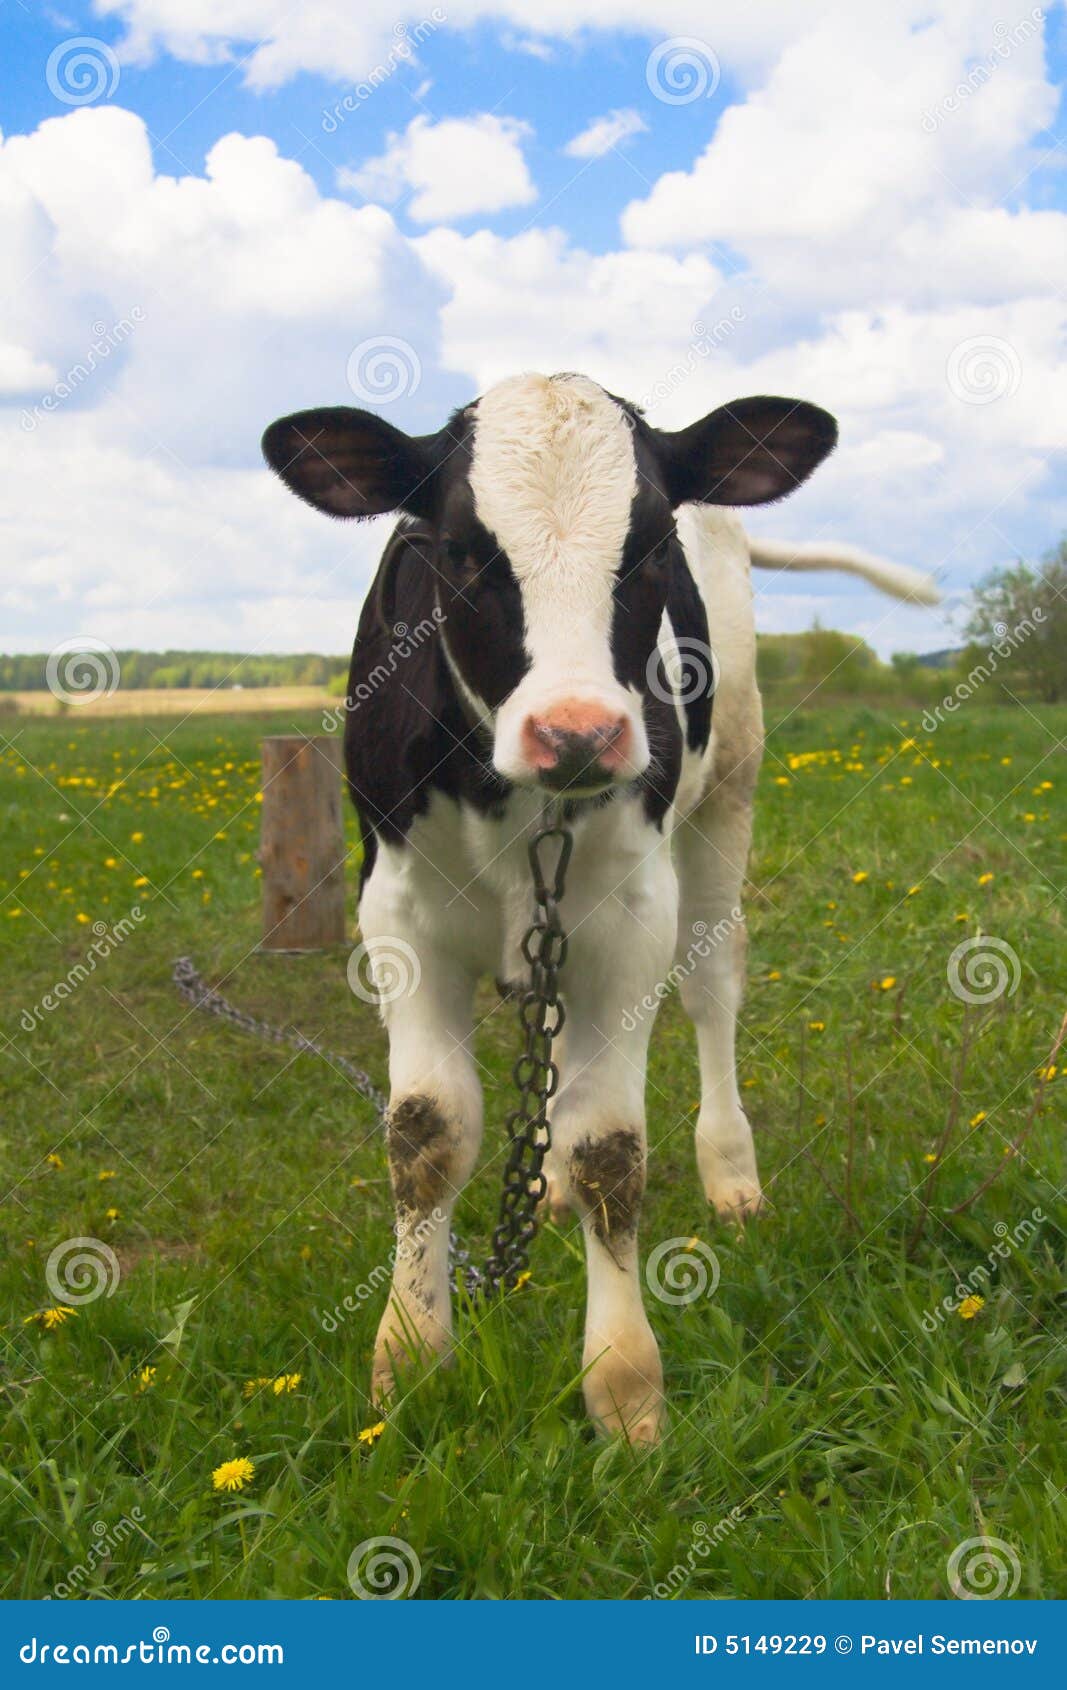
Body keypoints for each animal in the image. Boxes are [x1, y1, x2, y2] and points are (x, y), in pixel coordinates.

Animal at [263, 372, 937, 1444]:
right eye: (461, 549)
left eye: (651, 544)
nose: (576, 732)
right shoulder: (397, 916)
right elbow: (426, 1134)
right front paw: (407, 1361)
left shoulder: (628, 921)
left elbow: (607, 1153)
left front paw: (623, 1388)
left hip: (727, 795)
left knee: (710, 986)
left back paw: (730, 1172)